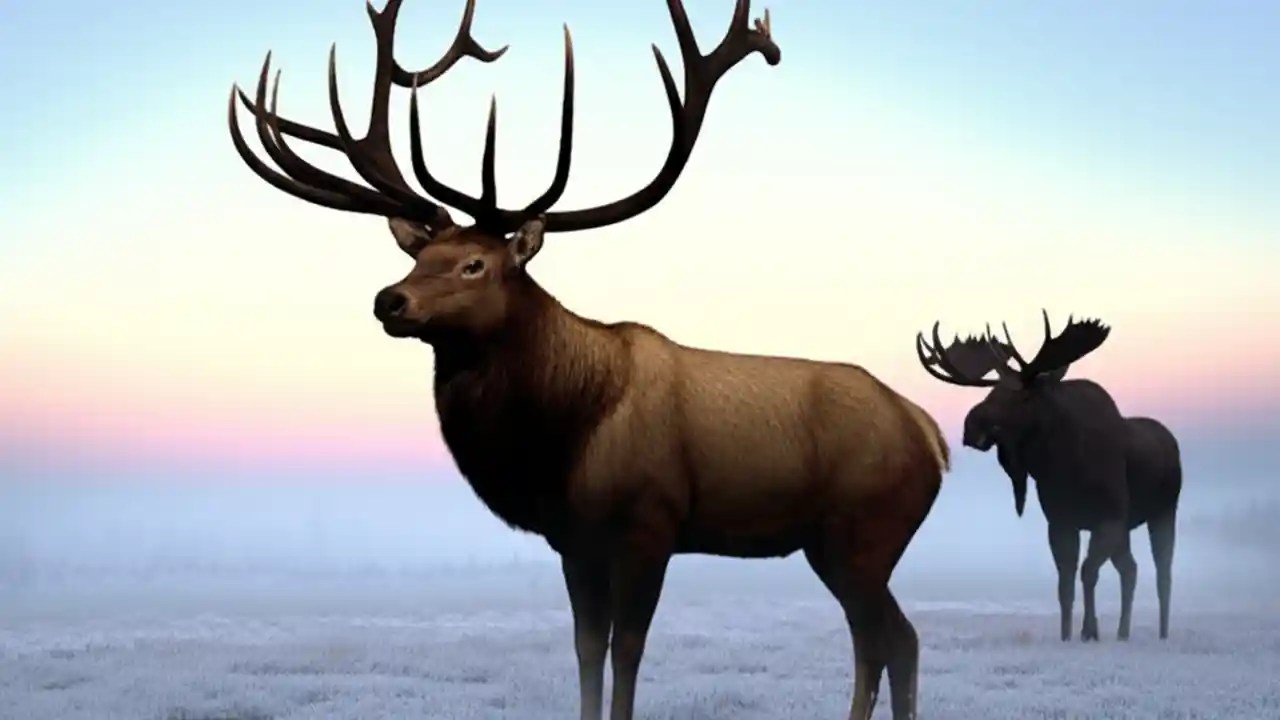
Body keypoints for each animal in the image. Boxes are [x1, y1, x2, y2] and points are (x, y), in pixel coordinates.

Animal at [227, 1, 950, 718]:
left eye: (475, 263)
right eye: (419, 254)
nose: (389, 299)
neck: (561, 440)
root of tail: (930, 435)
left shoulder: (649, 524)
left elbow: (626, 650)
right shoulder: (573, 540)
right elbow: (585, 648)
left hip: (863, 530)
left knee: (897, 635)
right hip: (831, 544)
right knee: (878, 637)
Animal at [915, 312, 1182, 643]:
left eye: (1023, 396)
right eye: (992, 391)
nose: (970, 425)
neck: (1064, 464)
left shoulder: (1109, 518)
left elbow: (1088, 572)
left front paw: (1089, 630)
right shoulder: (1060, 521)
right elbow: (1065, 585)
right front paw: (1068, 635)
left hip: (1164, 511)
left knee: (1162, 574)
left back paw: (1162, 633)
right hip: (1127, 529)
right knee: (1130, 570)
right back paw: (1122, 633)